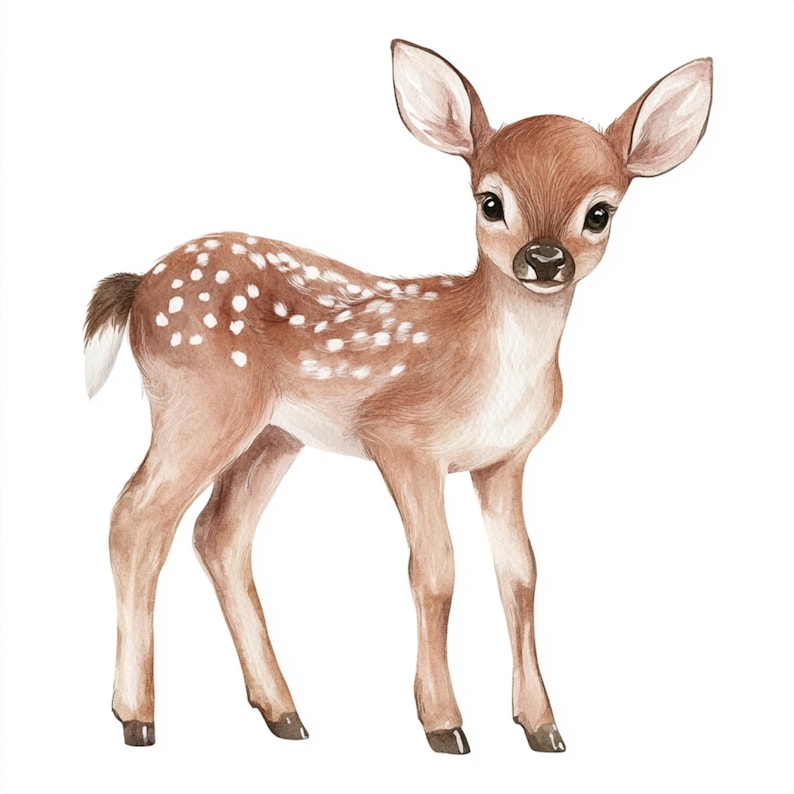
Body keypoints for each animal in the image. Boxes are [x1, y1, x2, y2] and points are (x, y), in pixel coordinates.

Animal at [84, 40, 712, 754]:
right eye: (490, 201)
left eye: (599, 212)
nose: (545, 258)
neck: (487, 361)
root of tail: (140, 286)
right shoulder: (401, 439)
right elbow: (435, 571)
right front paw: (444, 724)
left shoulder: (505, 461)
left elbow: (521, 575)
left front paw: (541, 724)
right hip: (200, 402)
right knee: (135, 517)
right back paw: (137, 717)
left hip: (274, 435)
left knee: (218, 534)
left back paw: (283, 713)